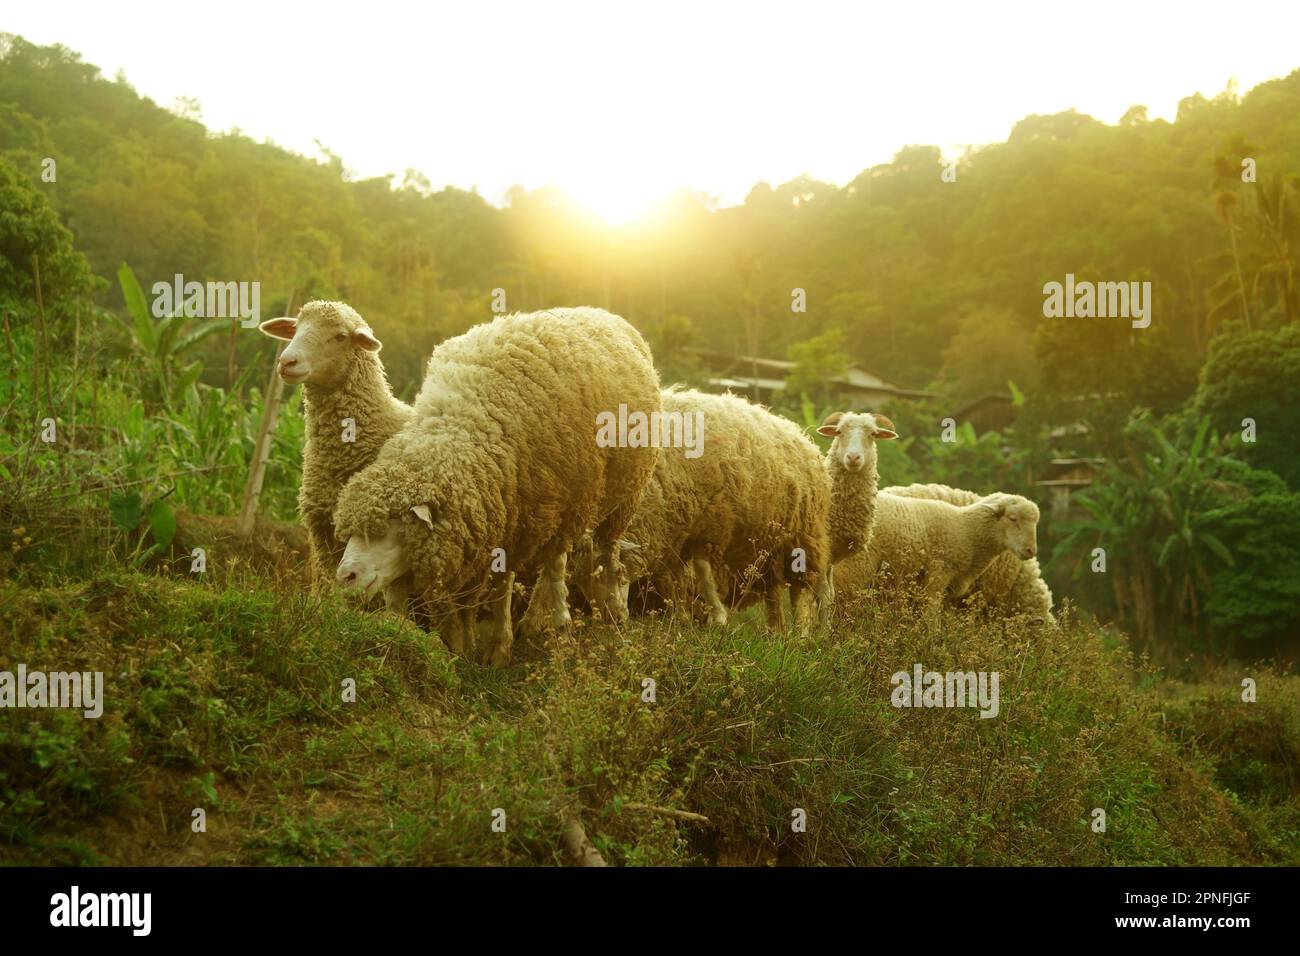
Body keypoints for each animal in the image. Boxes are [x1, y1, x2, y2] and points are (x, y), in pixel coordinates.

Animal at [330, 307, 661, 666]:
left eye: (389, 529)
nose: (344, 577)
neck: (466, 425)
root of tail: (602, 312)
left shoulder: (535, 515)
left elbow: (516, 581)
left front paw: (510, 645)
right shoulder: (503, 517)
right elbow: (475, 594)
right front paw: (471, 644)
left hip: (618, 496)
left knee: (602, 553)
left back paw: (611, 612)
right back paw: (533, 621)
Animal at [569, 387, 834, 629]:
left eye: (615, 572)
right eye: (580, 582)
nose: (610, 622)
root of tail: (799, 434)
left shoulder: (712, 528)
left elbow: (704, 575)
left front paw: (716, 618)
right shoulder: (676, 537)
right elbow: (677, 583)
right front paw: (682, 620)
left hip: (803, 538)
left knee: (806, 591)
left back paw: (805, 633)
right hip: (769, 552)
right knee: (774, 597)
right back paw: (776, 633)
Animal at [833, 490, 1042, 618]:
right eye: (1013, 518)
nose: (1031, 550)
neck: (966, 530)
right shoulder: (938, 573)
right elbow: (931, 615)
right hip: (854, 567)